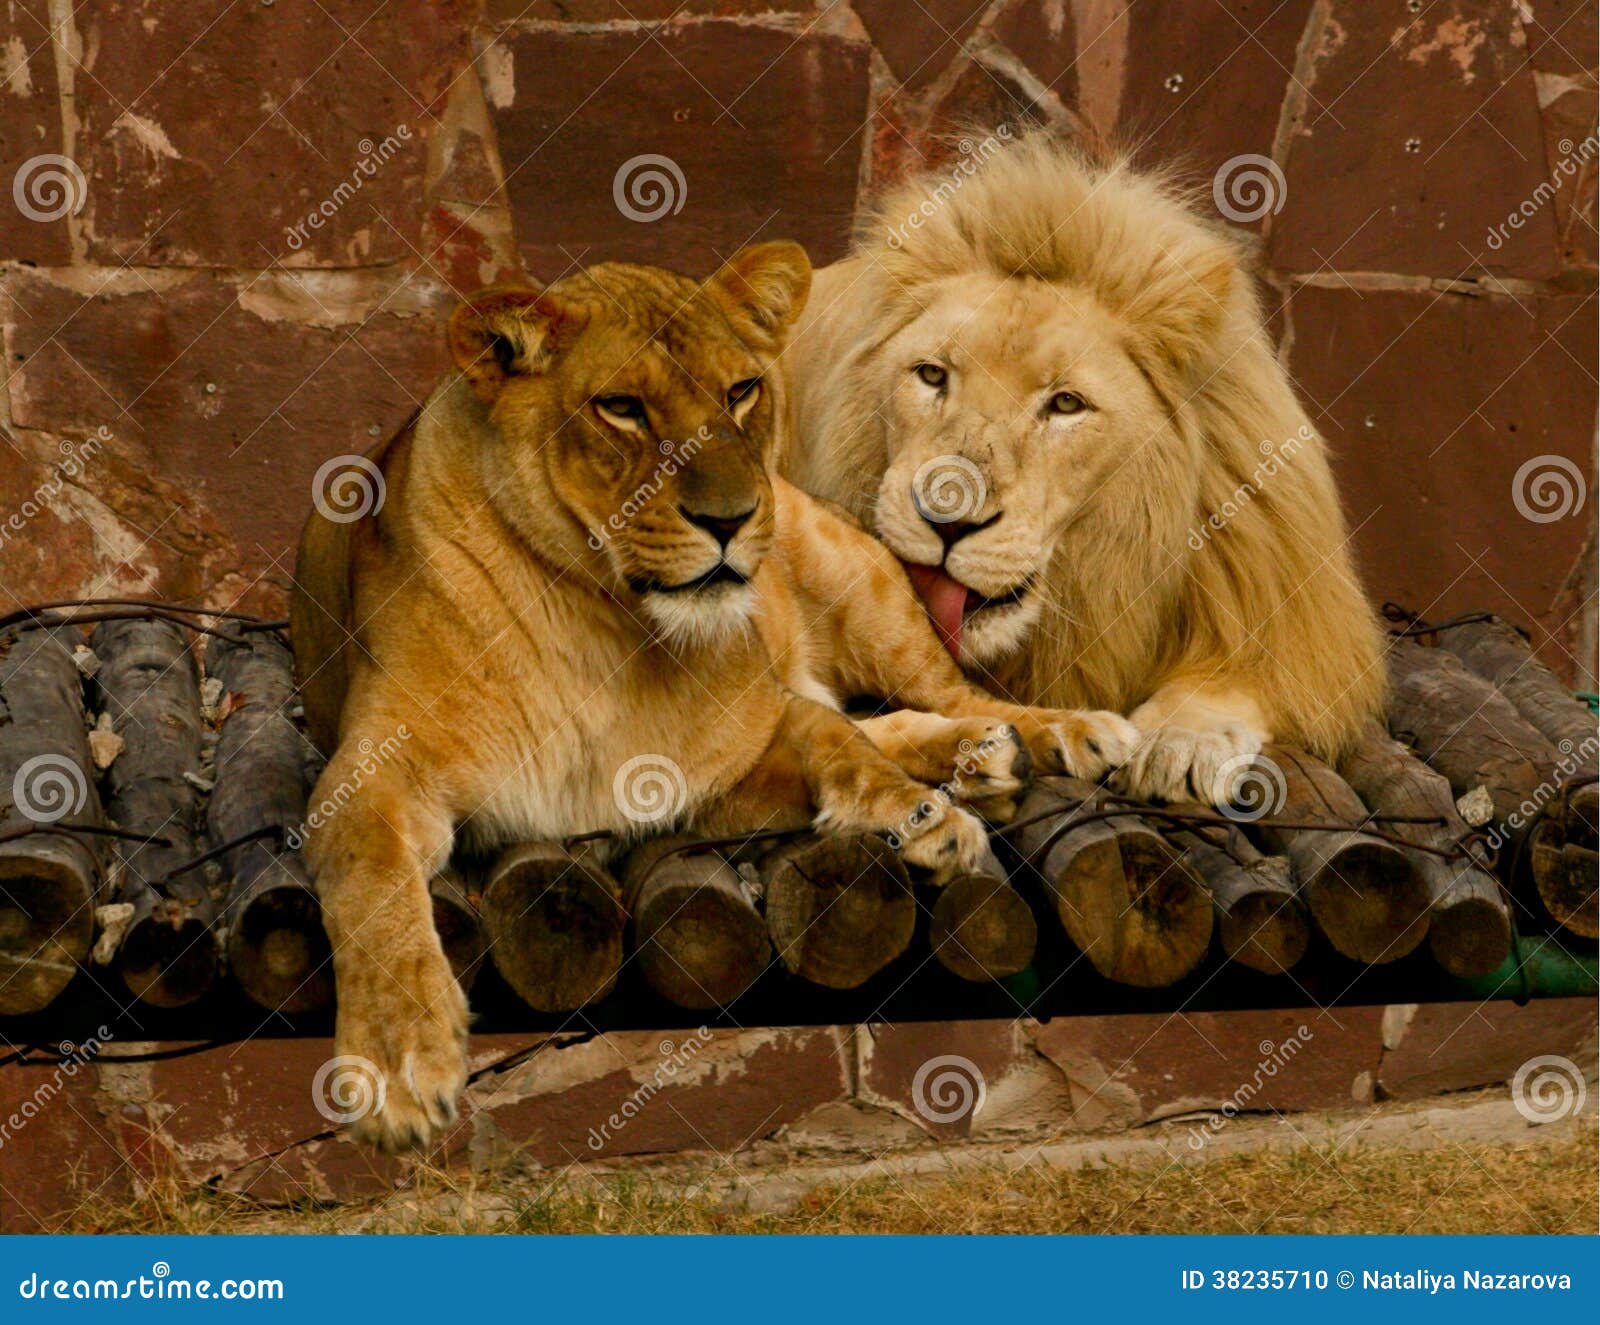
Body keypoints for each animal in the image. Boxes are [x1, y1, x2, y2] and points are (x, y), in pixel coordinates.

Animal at [290, 241, 1137, 1149]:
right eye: (622, 409)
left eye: (741, 393)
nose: (733, 519)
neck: (596, 621)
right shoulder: (370, 773)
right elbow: (373, 881)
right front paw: (396, 1063)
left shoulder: (737, 746)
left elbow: (835, 742)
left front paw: (927, 822)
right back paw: (978, 761)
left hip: (864, 588)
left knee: (945, 690)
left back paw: (1062, 735)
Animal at [779, 133, 1386, 805]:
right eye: (932, 374)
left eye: (1066, 404)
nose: (947, 522)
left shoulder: (1291, 616)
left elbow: (1243, 674)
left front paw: (1177, 746)